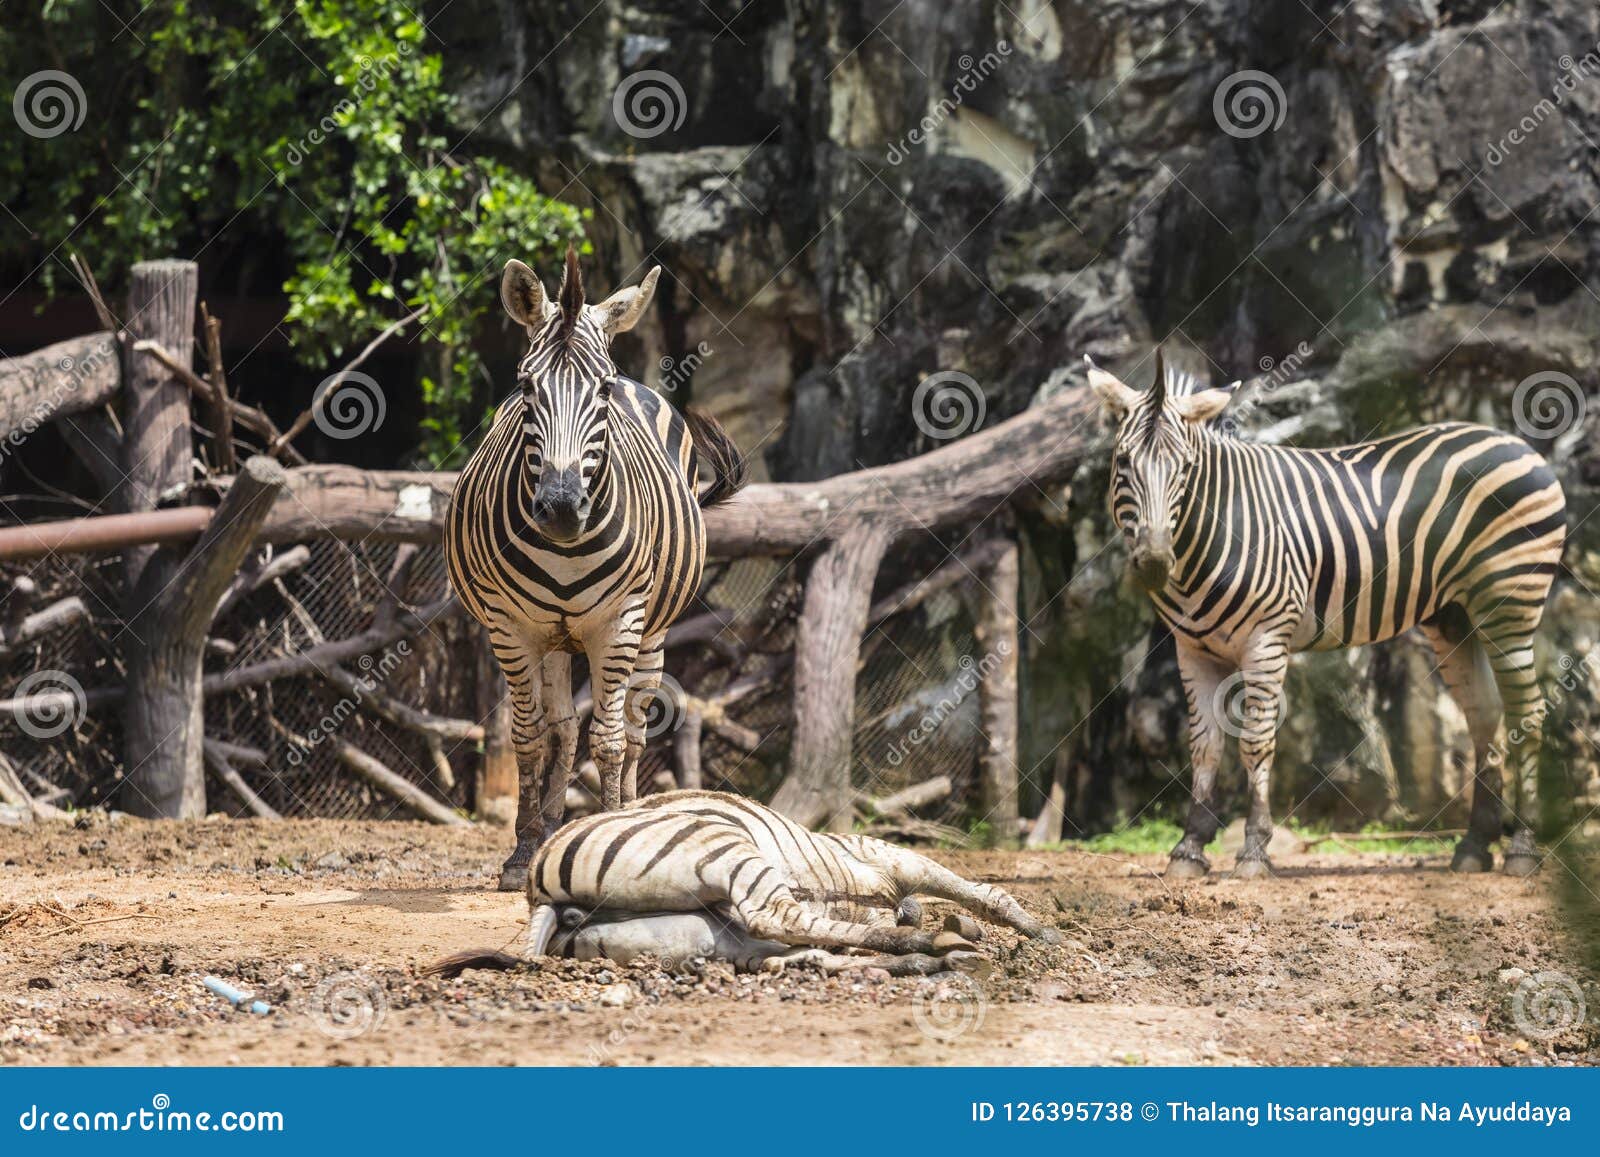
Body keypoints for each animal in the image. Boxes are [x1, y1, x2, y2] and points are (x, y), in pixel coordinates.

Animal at [427, 789, 1062, 977]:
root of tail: (537, 883)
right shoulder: (884, 856)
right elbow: (980, 890)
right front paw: (1040, 932)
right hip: (724, 852)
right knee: (784, 918)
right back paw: (934, 945)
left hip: (706, 930)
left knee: (801, 948)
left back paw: (928, 952)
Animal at [447, 249, 746, 890]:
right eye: (525, 385)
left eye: (601, 390)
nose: (561, 508)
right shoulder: (510, 626)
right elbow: (530, 736)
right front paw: (523, 850)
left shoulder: (620, 622)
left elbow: (607, 740)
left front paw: (612, 834)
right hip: (555, 639)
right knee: (561, 727)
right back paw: (553, 829)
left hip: (652, 633)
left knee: (633, 730)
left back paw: (631, 814)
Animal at [1086, 350, 1566, 879]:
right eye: (1123, 461)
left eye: (1186, 468)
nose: (1154, 562)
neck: (1216, 527)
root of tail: (1517, 442)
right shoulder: (1193, 648)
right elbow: (1205, 746)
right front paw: (1189, 848)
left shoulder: (1267, 637)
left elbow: (1255, 741)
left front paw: (1254, 851)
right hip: (1455, 615)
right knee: (1486, 715)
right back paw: (1475, 847)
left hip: (1511, 602)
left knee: (1529, 712)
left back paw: (1522, 848)